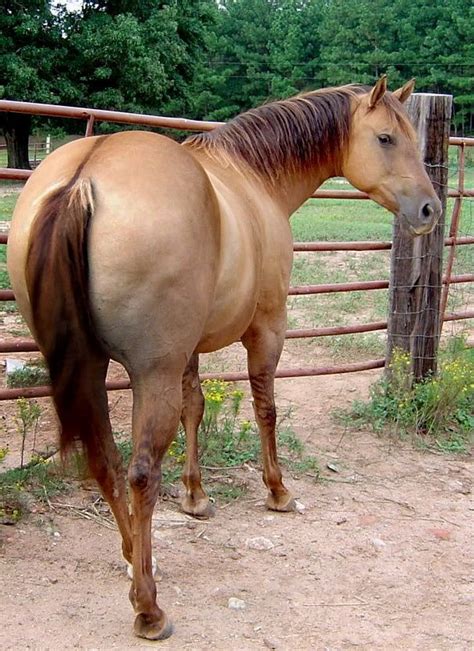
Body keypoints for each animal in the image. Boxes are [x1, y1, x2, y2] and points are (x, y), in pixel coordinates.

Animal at [7, 77, 441, 640]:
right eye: (386, 138)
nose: (429, 210)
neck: (254, 180)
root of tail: (84, 178)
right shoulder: (267, 329)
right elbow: (265, 409)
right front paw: (278, 491)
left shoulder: (188, 352)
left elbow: (195, 410)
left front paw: (196, 497)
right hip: (151, 374)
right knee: (140, 472)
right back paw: (148, 607)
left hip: (99, 368)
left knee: (106, 461)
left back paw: (132, 554)